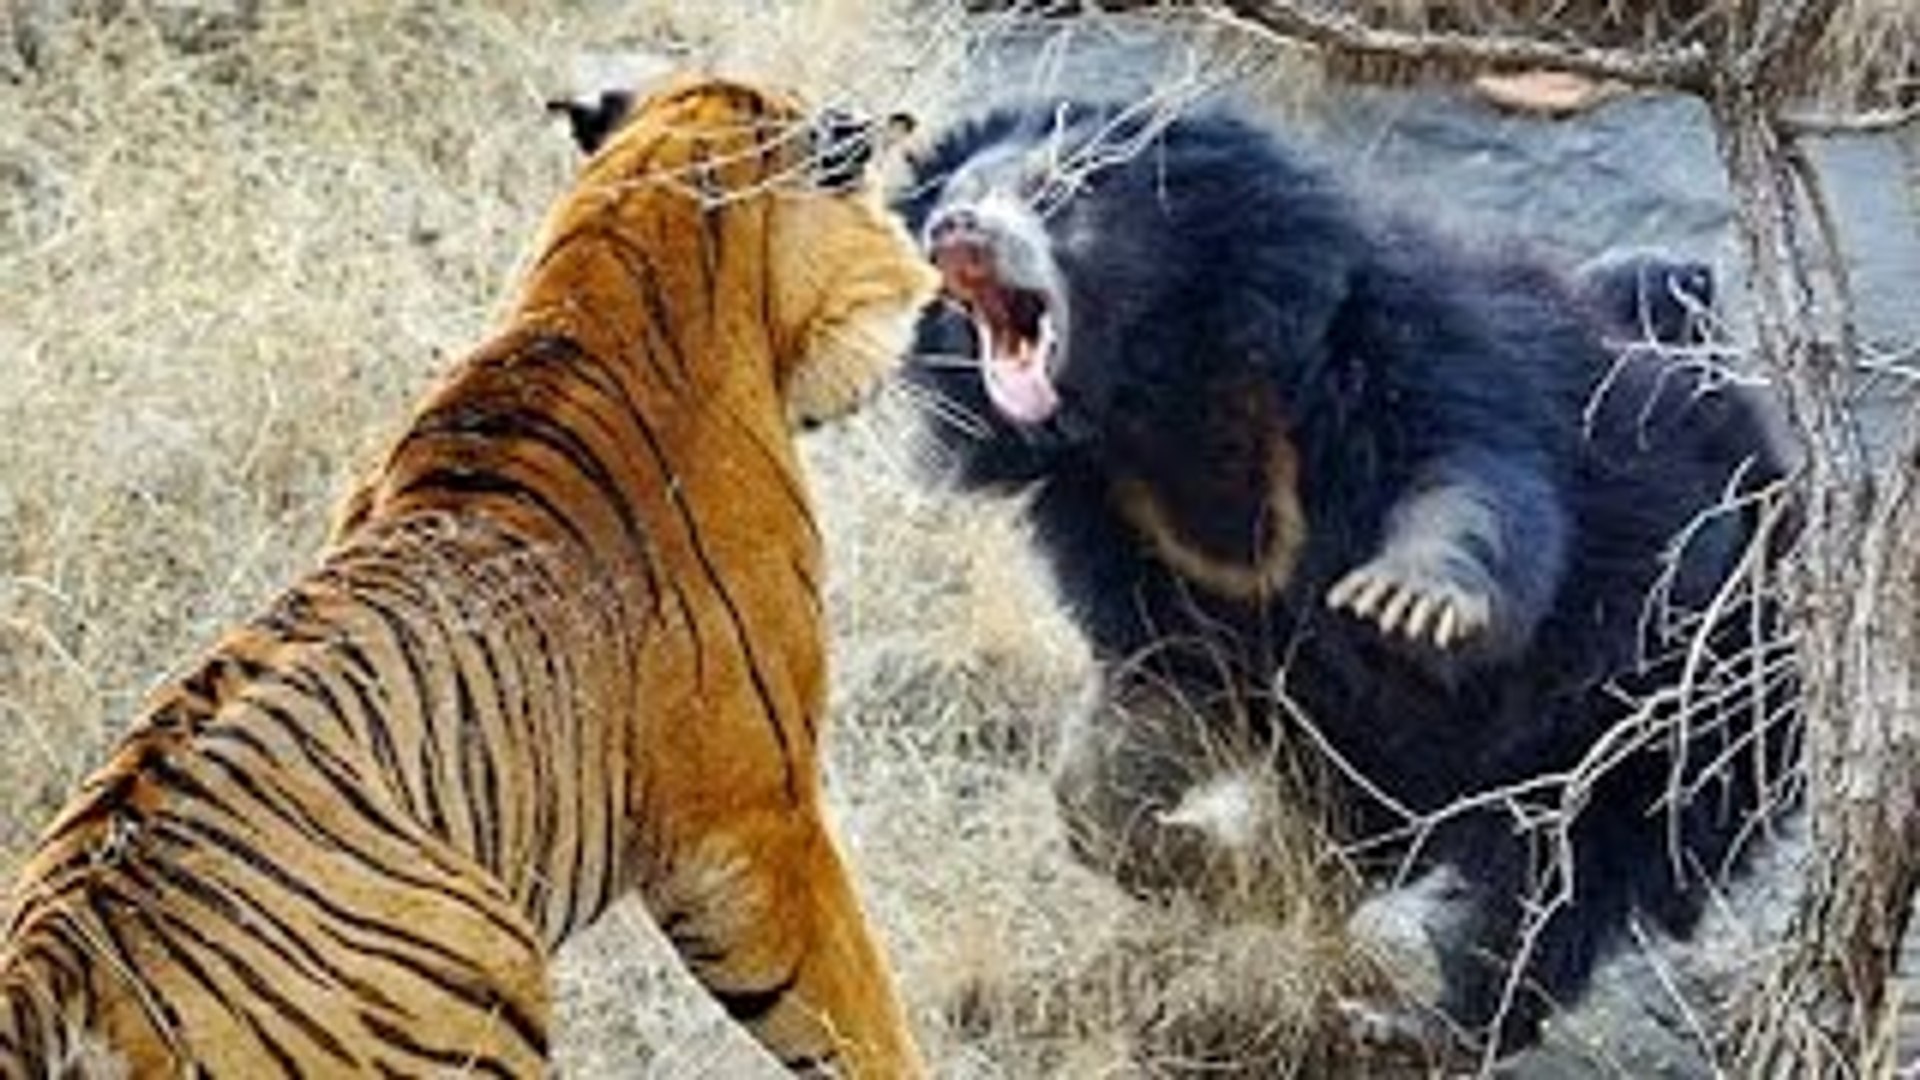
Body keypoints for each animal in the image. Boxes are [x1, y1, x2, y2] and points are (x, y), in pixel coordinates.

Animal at [896, 100, 1797, 1057]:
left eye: (1057, 192)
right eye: (950, 201)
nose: (957, 233)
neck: (1165, 397)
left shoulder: (1405, 350)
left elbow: (1475, 482)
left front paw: (1410, 602)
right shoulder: (1125, 526)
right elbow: (1153, 703)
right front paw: (1207, 865)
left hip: (1683, 699)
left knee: (1563, 881)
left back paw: (1428, 1023)